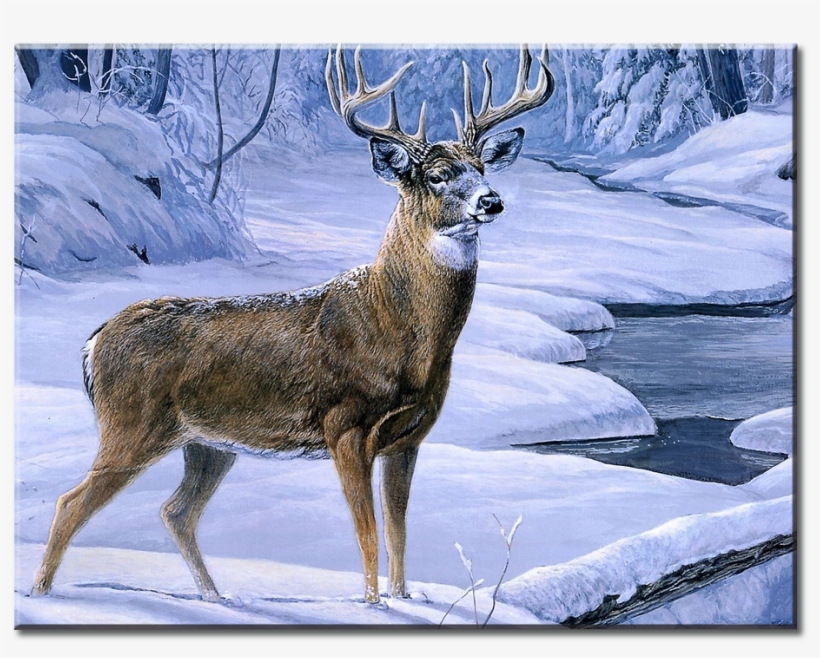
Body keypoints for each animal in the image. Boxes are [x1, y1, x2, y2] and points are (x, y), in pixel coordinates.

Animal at [31, 45, 554, 605]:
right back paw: (42, 593)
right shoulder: (343, 423)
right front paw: (371, 605)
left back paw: (215, 597)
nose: (491, 201)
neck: (399, 332)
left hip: (207, 444)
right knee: (70, 502)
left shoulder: (409, 437)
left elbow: (399, 532)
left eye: (480, 167)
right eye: (436, 175)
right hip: (131, 423)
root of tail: (93, 343)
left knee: (176, 511)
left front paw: (402, 599)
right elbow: (367, 532)